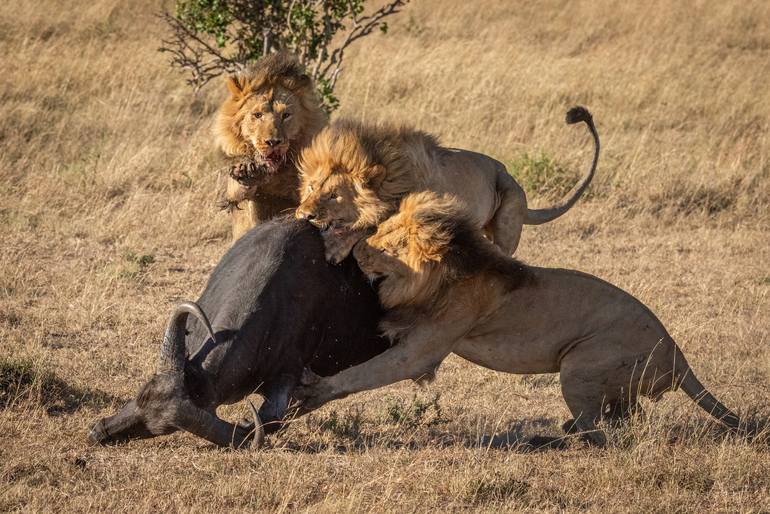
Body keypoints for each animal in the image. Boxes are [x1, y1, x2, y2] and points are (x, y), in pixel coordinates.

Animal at [215, 51, 327, 240]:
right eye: (257, 115)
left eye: (286, 115)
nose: (273, 142)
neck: (275, 173)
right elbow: (235, 192)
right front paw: (246, 171)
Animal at [295, 106, 599, 263]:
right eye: (311, 188)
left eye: (334, 195)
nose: (303, 215)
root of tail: (517, 186)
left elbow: (367, 227)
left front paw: (335, 246)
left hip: (507, 218)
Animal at [295, 192, 743, 446]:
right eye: (381, 231)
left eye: (393, 244)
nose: (359, 253)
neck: (448, 273)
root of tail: (677, 354)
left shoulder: (426, 347)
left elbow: (365, 374)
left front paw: (314, 389)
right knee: (625, 420)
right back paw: (565, 430)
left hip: (580, 365)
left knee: (603, 435)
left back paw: (554, 439)